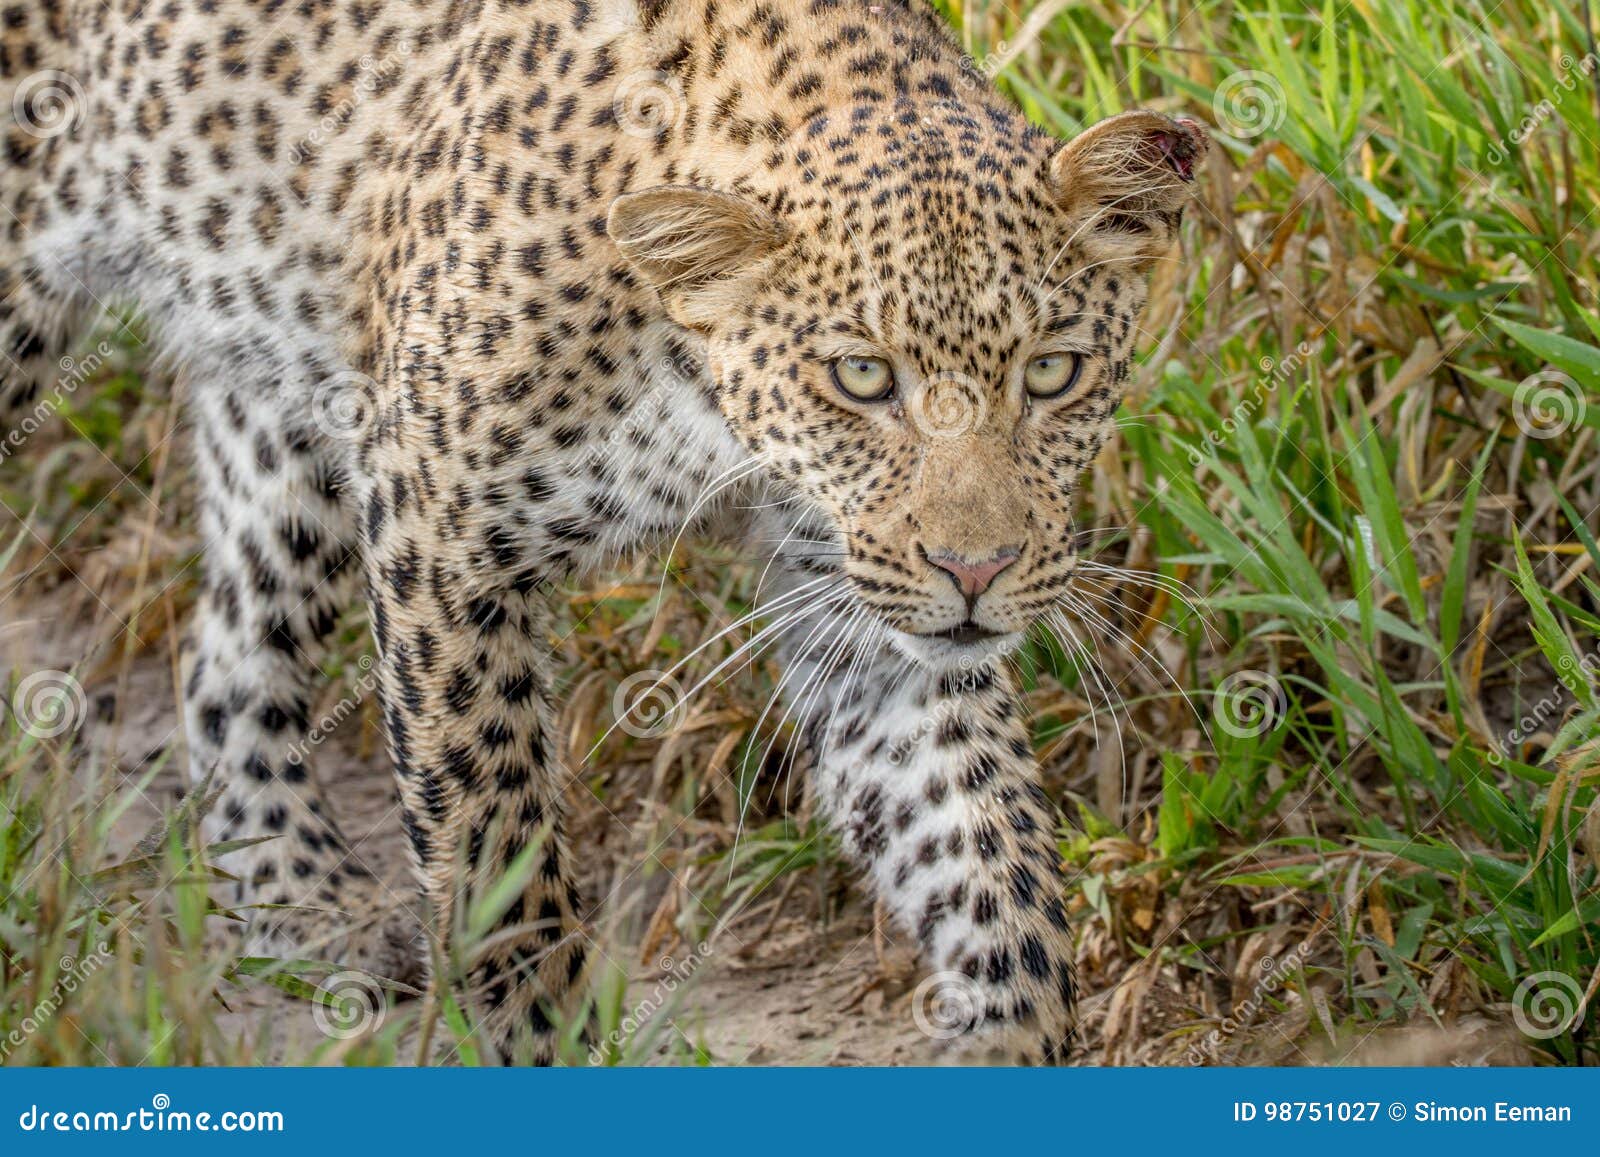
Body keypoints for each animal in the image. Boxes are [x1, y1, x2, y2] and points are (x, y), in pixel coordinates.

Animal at [1, 0, 1205, 1063]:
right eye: (862, 378)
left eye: (1052, 372)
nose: (976, 570)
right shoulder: (442, 545)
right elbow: (500, 868)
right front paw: (544, 1045)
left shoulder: (863, 605)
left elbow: (991, 863)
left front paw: (1007, 1038)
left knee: (225, 657)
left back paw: (309, 905)